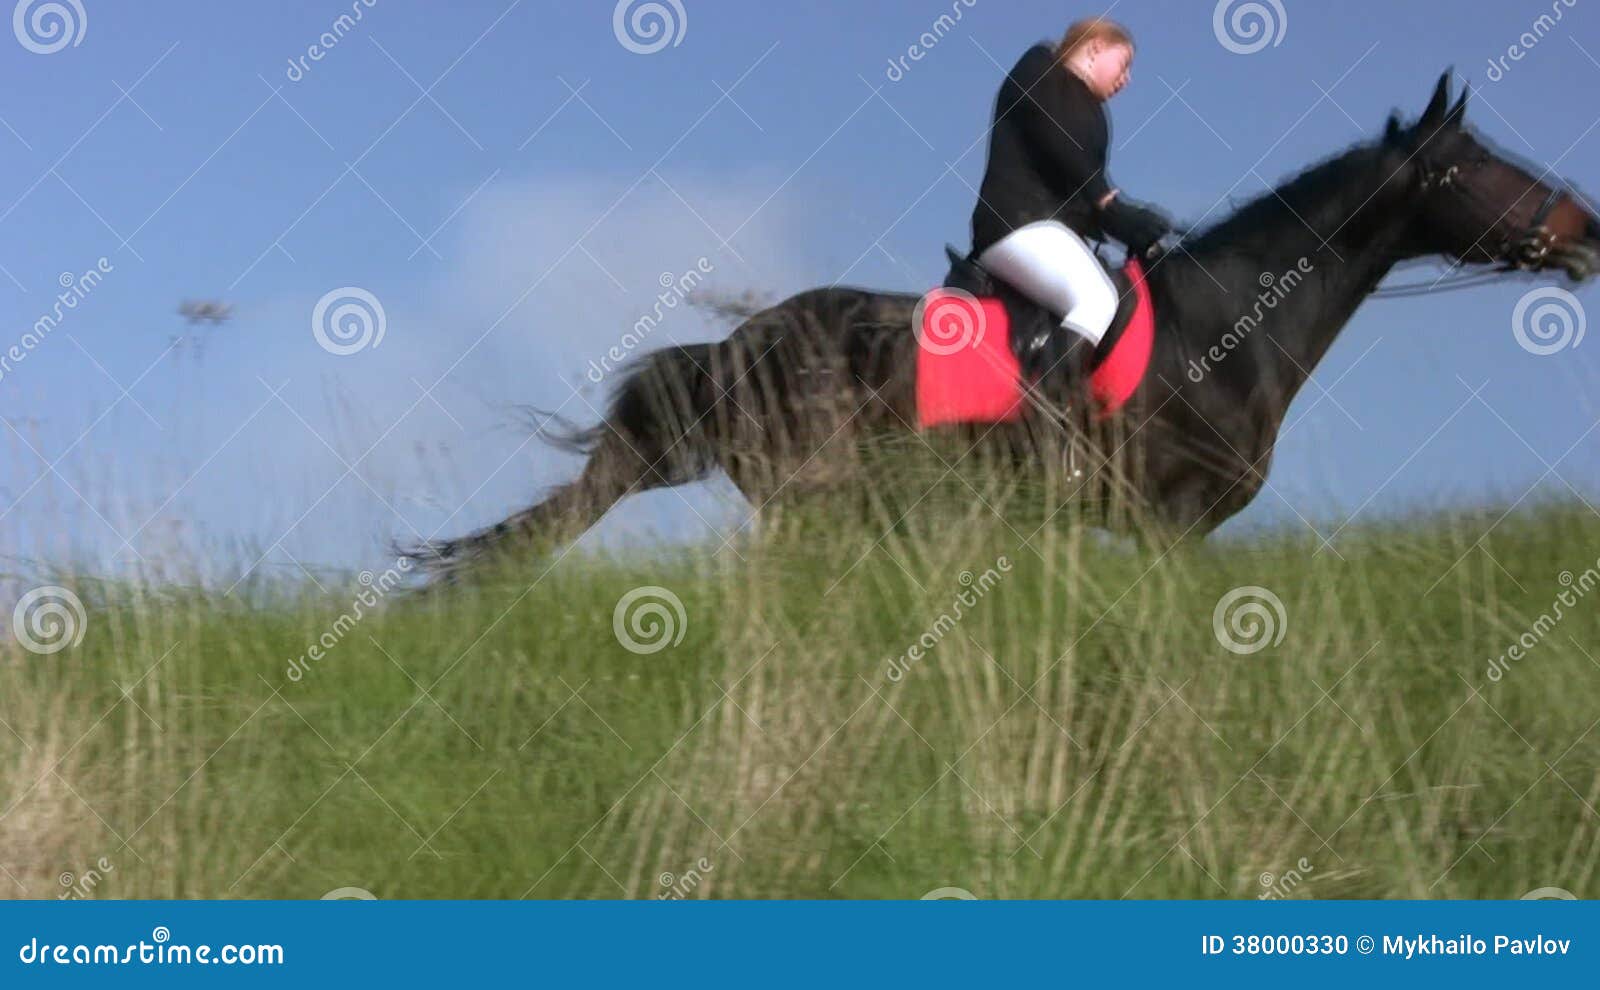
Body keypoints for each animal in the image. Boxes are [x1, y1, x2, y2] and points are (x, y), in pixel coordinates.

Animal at [405, 73, 1600, 579]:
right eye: (1473, 167)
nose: (1584, 227)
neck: (1228, 324)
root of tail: (736, 347)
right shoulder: (1169, 523)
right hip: (811, 498)